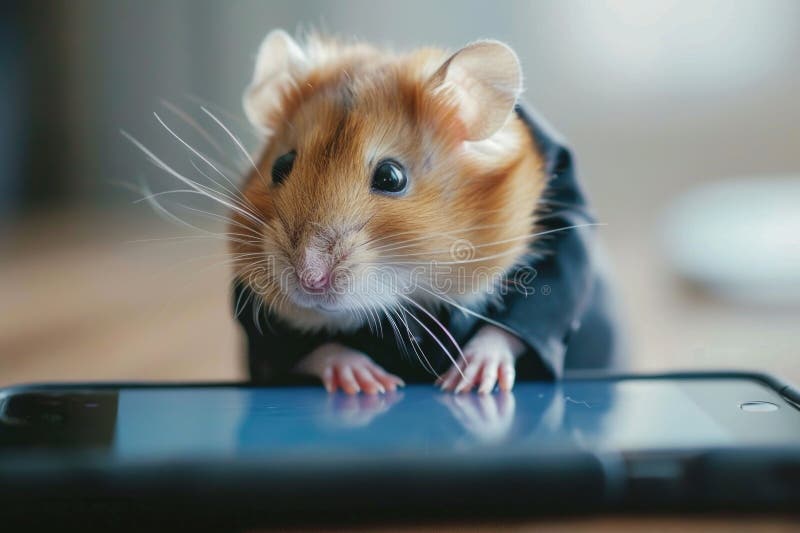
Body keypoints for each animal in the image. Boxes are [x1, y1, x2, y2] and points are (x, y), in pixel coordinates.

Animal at [230, 30, 615, 395]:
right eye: (281, 165)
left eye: (390, 177)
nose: (310, 279)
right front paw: (367, 380)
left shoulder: (564, 225)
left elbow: (535, 303)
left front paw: (468, 379)